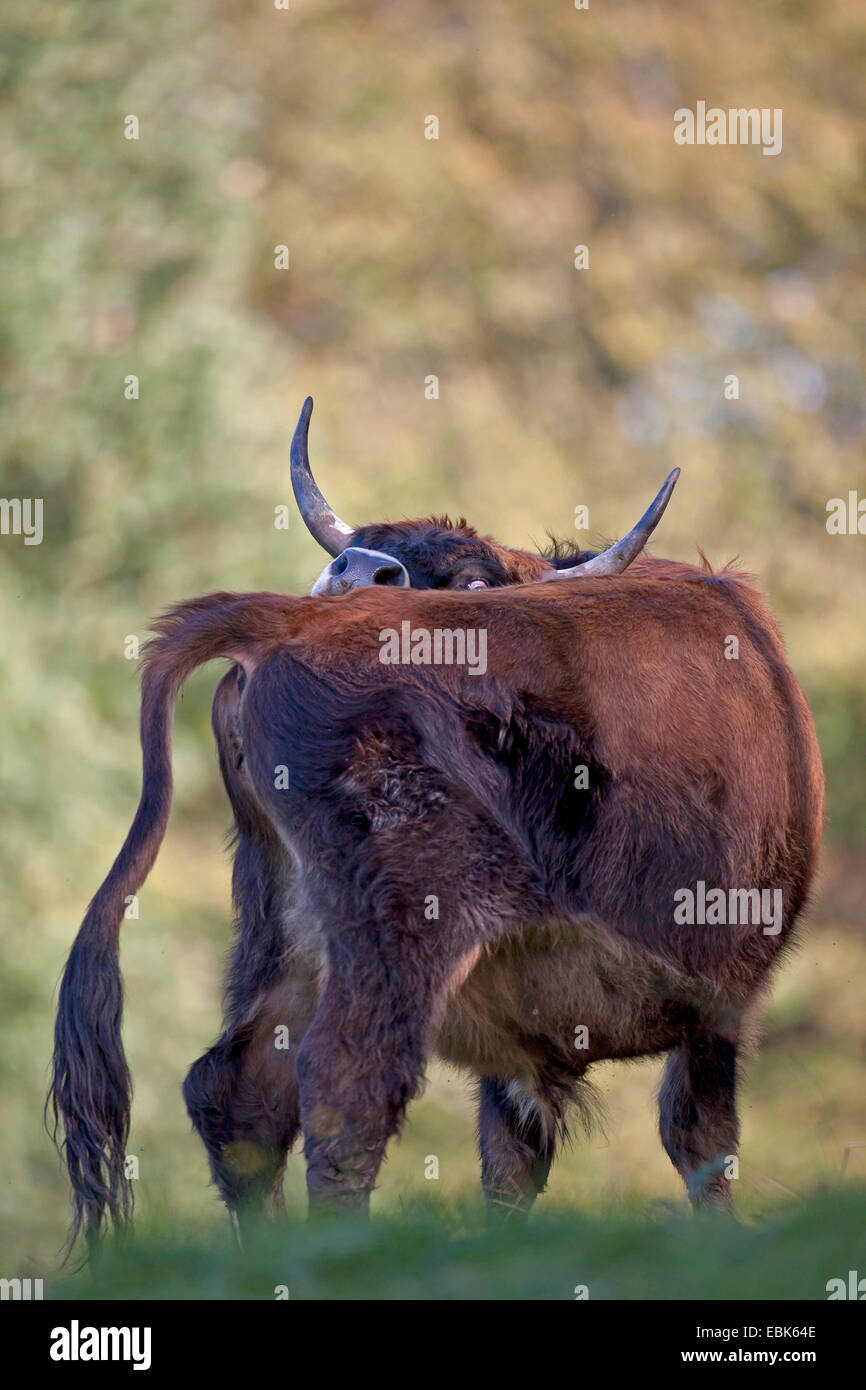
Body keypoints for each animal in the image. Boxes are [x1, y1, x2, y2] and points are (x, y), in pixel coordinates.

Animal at [49, 399, 823, 1252]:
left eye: (476, 579)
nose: (355, 569)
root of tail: (284, 620)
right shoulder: (718, 995)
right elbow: (699, 1142)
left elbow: (514, 1162)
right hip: (400, 930)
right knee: (345, 1087)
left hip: (285, 928)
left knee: (236, 1093)